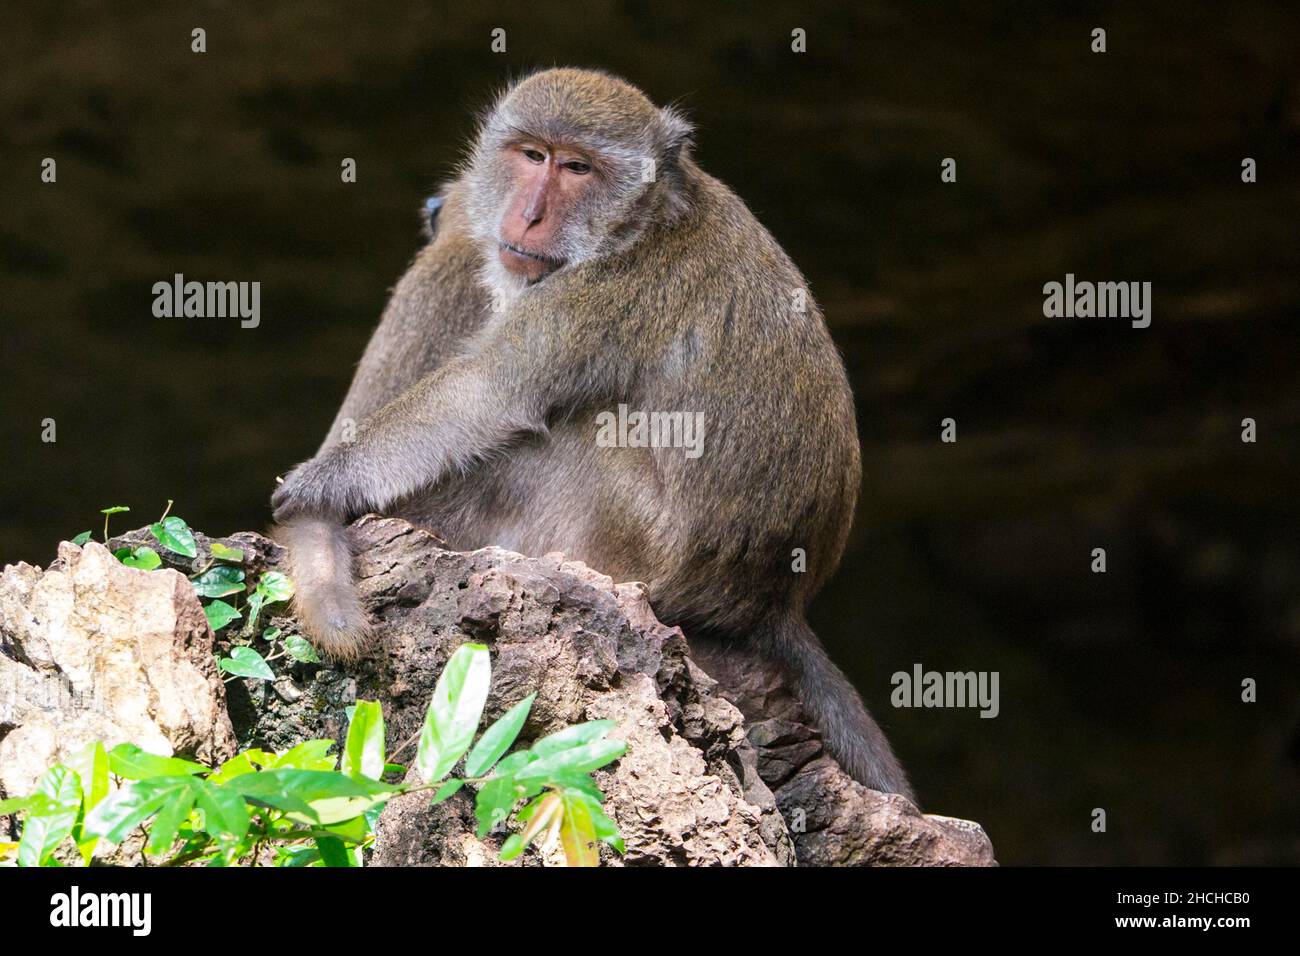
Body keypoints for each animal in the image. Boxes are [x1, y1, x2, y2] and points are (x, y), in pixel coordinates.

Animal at [272, 68, 913, 800]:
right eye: (532, 156)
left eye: (577, 168)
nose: (527, 215)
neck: (643, 221)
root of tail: (774, 602)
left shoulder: (604, 292)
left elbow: (488, 394)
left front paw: (321, 484)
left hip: (627, 539)